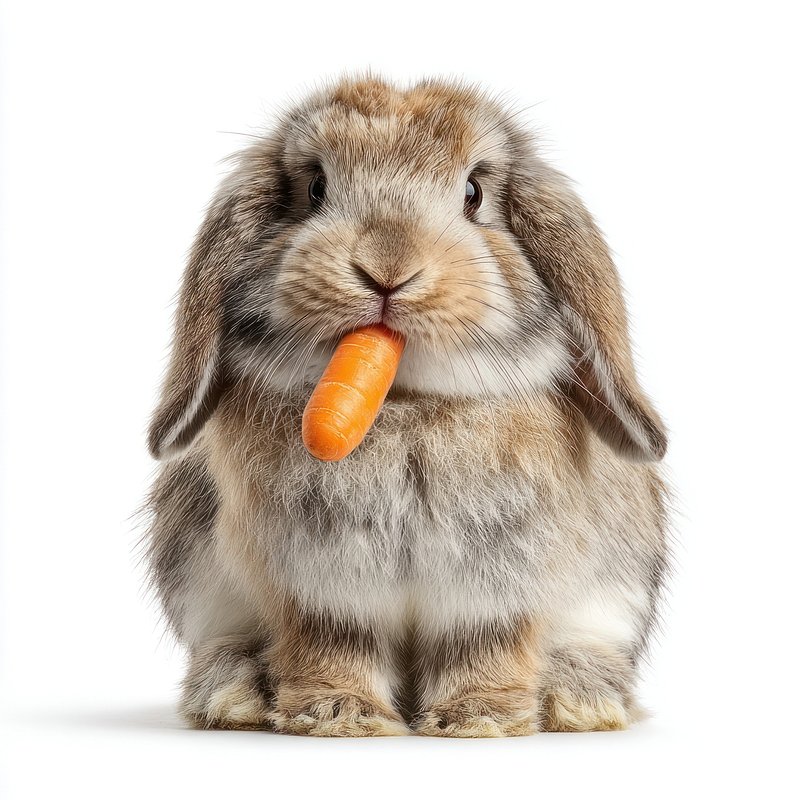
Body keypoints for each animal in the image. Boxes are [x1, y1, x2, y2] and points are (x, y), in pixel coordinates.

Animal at [144, 74, 670, 737]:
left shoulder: (495, 593)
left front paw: (480, 717)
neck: (404, 407)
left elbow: (486, 649)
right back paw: (232, 695)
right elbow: (332, 647)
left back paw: (580, 698)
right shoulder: (321, 592)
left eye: (473, 192)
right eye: (315, 188)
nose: (385, 269)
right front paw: (338, 714)